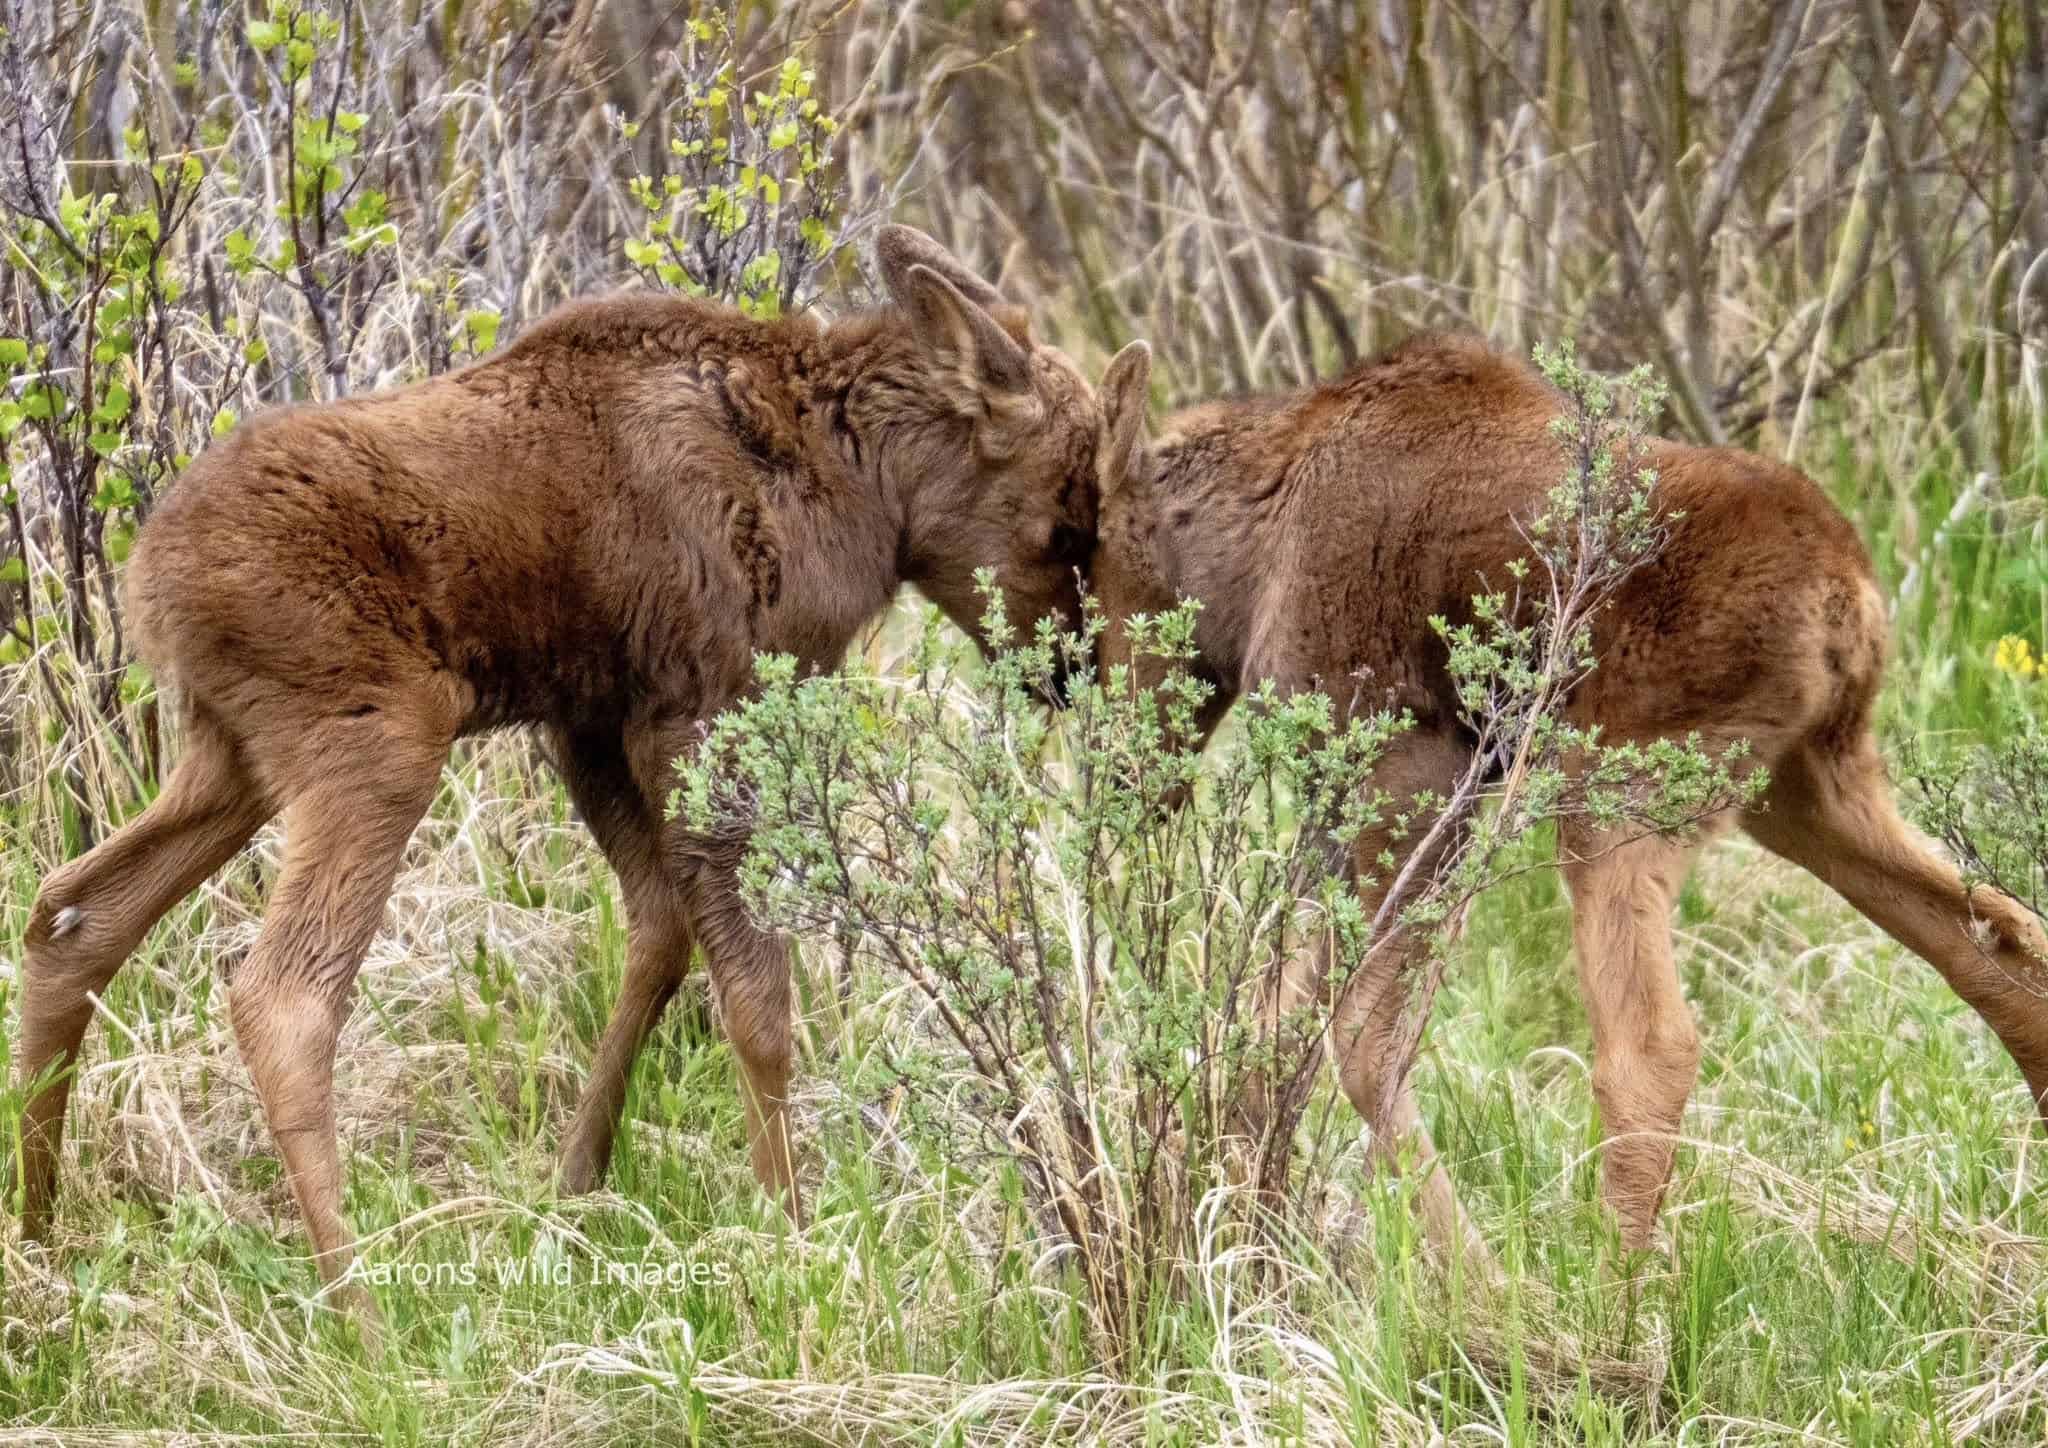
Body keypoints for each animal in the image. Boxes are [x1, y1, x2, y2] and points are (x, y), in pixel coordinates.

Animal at [16, 225, 1144, 1328]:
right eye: (1066, 516)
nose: (1068, 672)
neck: (859, 486)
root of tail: (146, 575)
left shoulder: (591, 720)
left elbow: (659, 933)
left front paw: (573, 1185)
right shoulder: (698, 707)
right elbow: (757, 996)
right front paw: (794, 1236)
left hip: (230, 755)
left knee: (75, 913)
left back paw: (38, 1239)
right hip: (375, 737)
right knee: (279, 994)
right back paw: (360, 1310)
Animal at [1088, 333, 2048, 1259]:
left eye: (1086, 563)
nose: (1116, 758)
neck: (1250, 545)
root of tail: (1845, 595)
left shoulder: (1410, 756)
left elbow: (1356, 1036)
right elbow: (1274, 1025)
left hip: (1622, 788)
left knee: (1648, 1048)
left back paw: (1612, 1298)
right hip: (1810, 785)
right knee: (1997, 938)